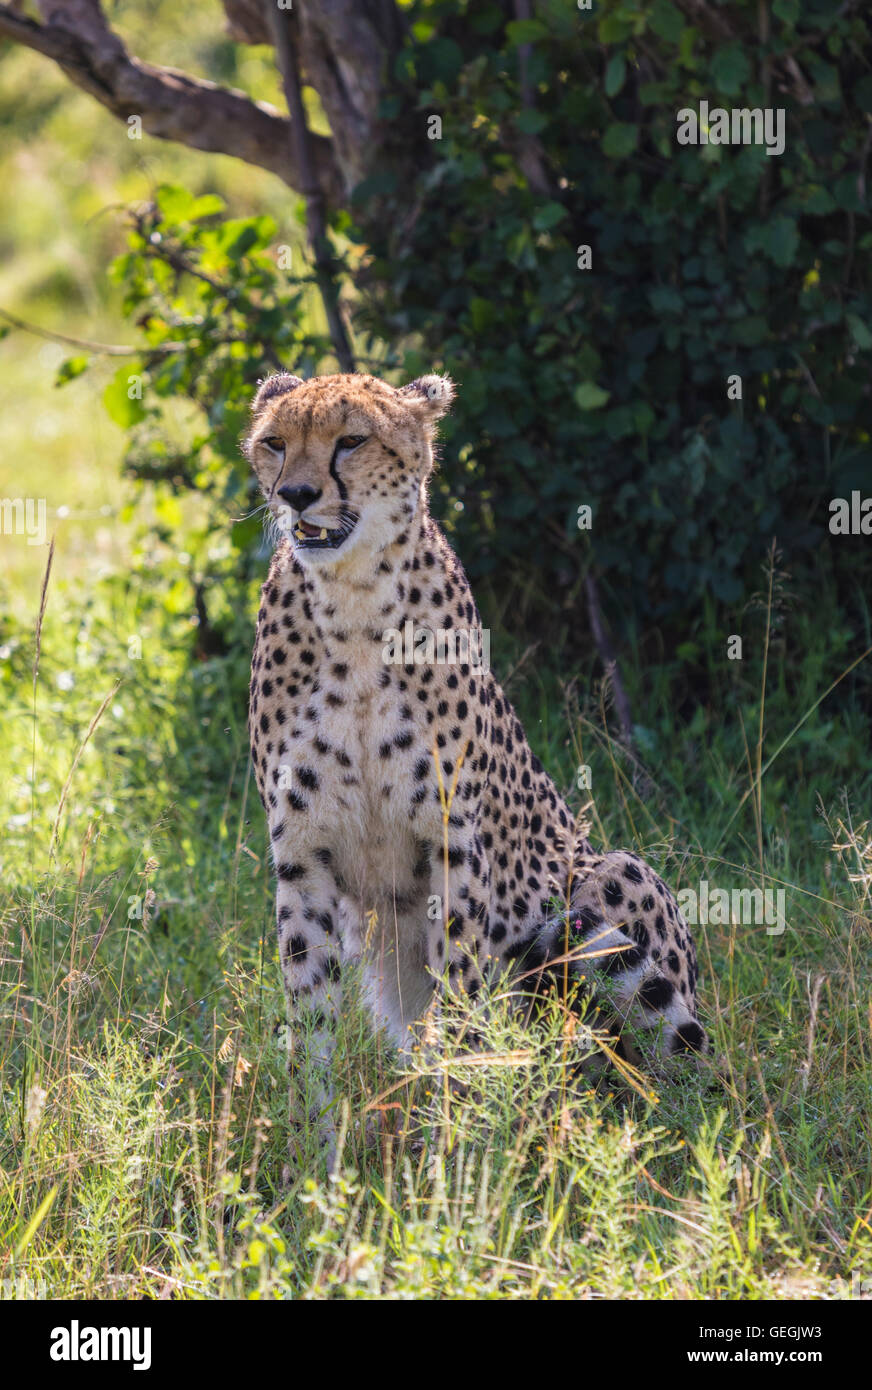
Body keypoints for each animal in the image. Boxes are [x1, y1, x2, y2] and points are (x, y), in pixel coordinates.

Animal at [244, 368, 707, 1159]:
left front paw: (456, 1145)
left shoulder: (452, 843)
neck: (353, 601)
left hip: (611, 882)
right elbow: (310, 1016)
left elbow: (459, 996)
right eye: (275, 442)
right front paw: (314, 1156)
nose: (296, 495)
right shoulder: (302, 855)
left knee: (689, 1081)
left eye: (351, 440)